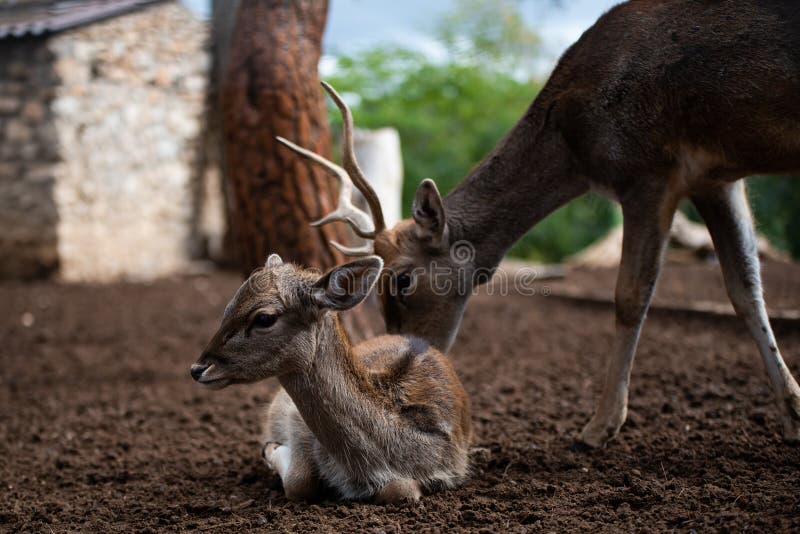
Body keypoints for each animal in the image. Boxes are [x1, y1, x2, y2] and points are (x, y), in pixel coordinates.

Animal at [190, 253, 471, 502]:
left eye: (264, 317)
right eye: (228, 307)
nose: (198, 368)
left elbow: (402, 490)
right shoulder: (294, 418)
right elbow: (300, 482)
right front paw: (271, 448)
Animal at [276, 0, 800, 450]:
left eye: (403, 279)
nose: (401, 351)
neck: (575, 141)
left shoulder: (650, 171)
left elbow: (631, 297)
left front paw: (598, 427)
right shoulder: (716, 177)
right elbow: (745, 288)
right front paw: (794, 413)